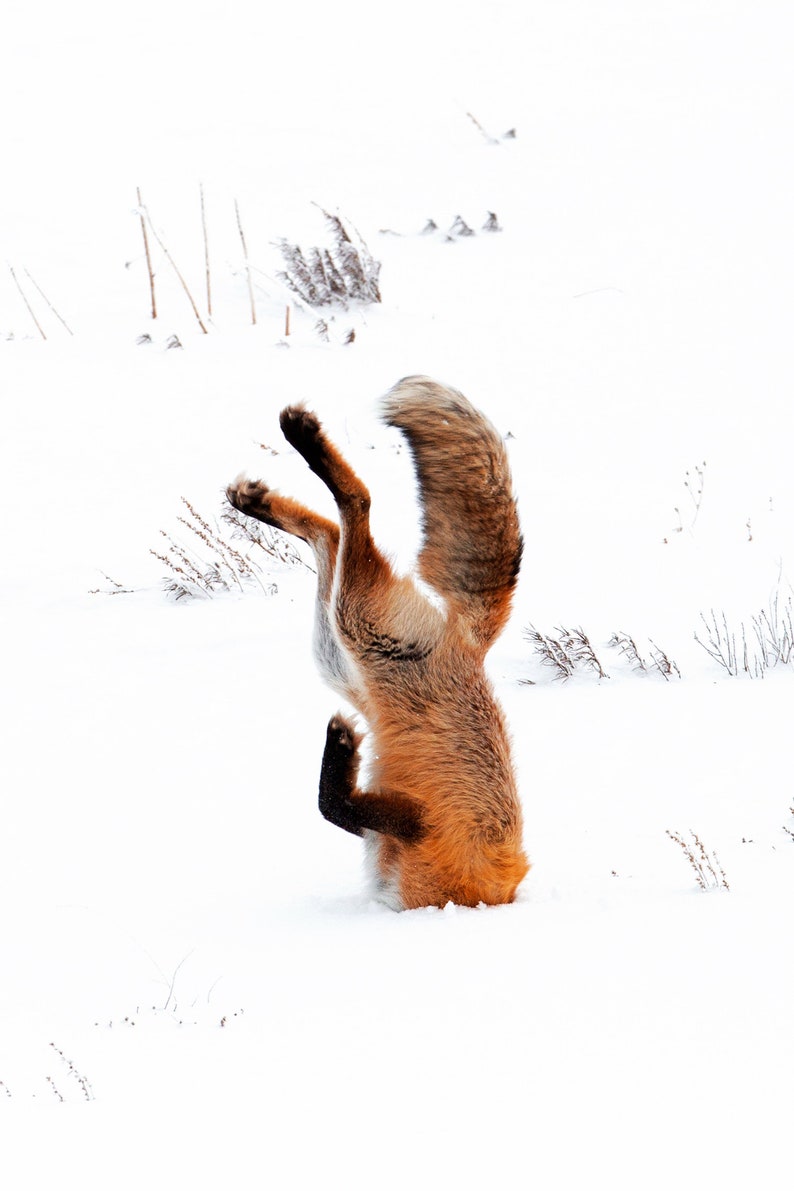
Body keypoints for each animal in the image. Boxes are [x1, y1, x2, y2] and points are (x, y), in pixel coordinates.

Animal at [226, 376, 529, 910]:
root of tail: (471, 643)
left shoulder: (419, 828)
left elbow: (333, 805)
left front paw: (341, 744)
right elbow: (334, 808)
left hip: (356, 631)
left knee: (351, 511)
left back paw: (294, 451)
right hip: (344, 643)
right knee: (335, 527)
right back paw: (263, 491)